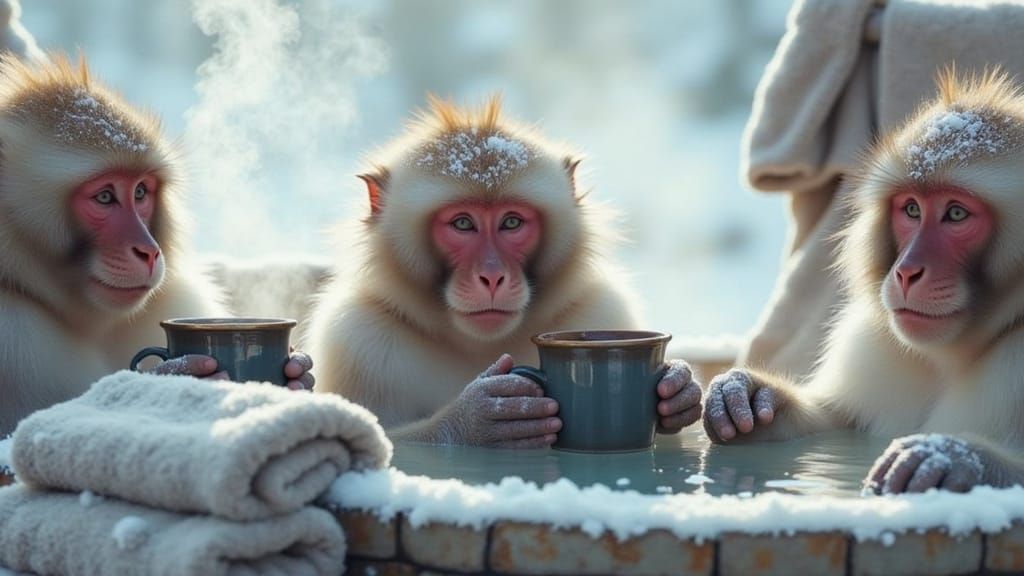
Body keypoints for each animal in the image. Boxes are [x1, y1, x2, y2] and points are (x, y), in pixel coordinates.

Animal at [306, 96, 703, 448]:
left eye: (511, 222)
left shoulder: (603, 311)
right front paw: (476, 421)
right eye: (463, 223)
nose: (493, 277)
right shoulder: (354, 338)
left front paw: (679, 393)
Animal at [701, 69, 1024, 494]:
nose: (905, 272)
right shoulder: (873, 345)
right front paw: (749, 393)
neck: (953, 354)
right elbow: (837, 422)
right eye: (911, 209)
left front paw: (952, 459)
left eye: (956, 213)